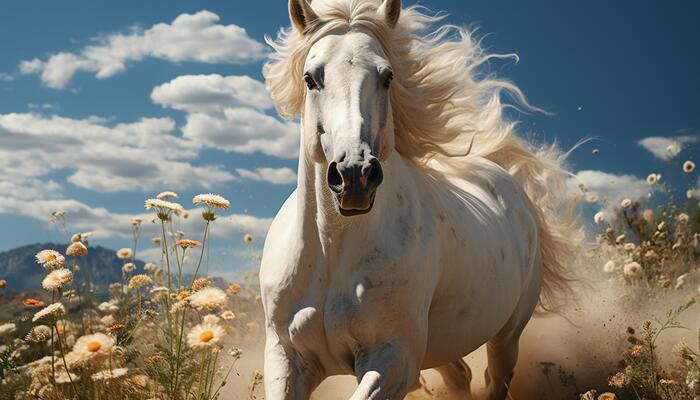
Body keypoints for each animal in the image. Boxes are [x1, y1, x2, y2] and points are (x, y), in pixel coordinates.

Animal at [259, 1, 580, 399]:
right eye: (310, 78)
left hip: (506, 337)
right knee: (460, 376)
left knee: (493, 378)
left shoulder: (394, 358)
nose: (354, 175)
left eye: (387, 76)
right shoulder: (286, 357)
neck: (331, 252)